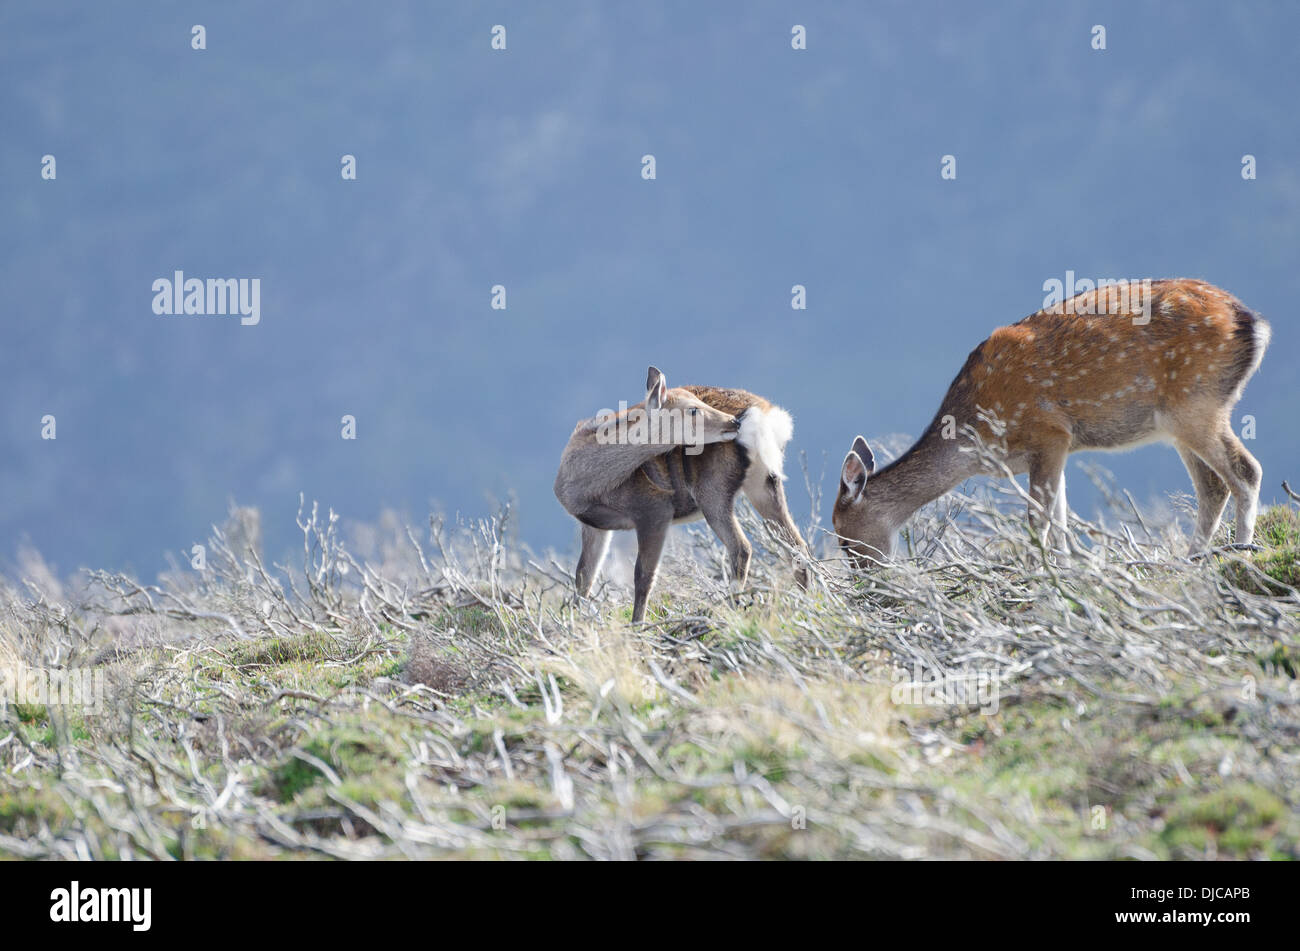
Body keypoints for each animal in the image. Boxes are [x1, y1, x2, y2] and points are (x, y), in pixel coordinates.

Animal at [555, 366, 810, 622]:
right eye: (693, 409)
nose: (733, 422)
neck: (585, 487)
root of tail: (766, 417)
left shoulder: (655, 509)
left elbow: (643, 575)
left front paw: (637, 624)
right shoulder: (594, 525)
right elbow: (583, 578)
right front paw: (573, 623)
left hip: (712, 489)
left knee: (742, 547)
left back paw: (731, 606)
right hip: (764, 481)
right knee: (796, 544)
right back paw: (808, 600)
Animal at [833, 279, 1271, 567]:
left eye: (843, 539)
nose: (865, 578)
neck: (977, 438)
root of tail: (1254, 323)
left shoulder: (1049, 433)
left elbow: (1038, 519)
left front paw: (1038, 570)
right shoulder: (1056, 447)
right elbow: (1060, 518)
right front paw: (1063, 565)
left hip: (1196, 403)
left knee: (1246, 470)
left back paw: (1241, 553)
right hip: (1181, 419)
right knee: (1213, 484)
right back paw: (1193, 557)